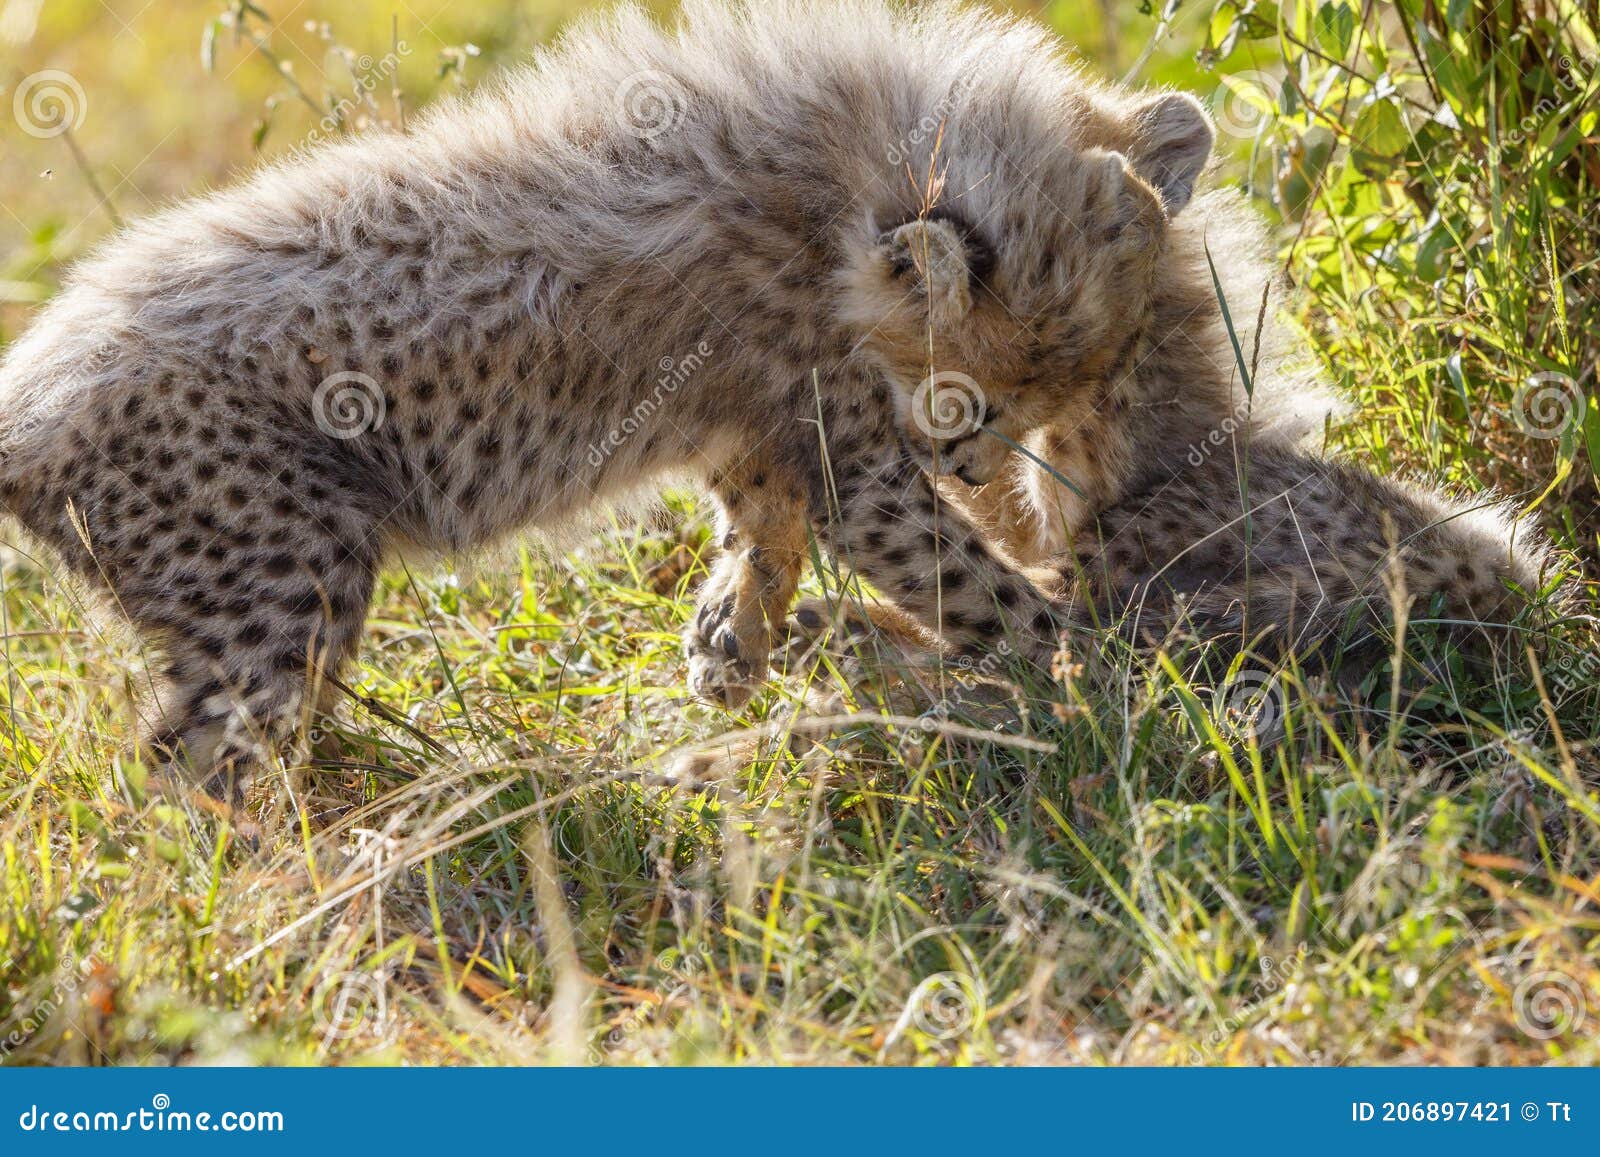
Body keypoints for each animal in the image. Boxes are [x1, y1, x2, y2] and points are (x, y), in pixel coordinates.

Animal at [0, 0, 1224, 794]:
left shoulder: (760, 417)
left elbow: (761, 523)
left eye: (1059, 392)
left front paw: (729, 641)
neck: (858, 184)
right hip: (280, 577)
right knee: (195, 764)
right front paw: (1122, 690)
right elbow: (982, 589)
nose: (972, 469)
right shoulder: (857, 458)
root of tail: (25, 399)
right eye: (970, 401)